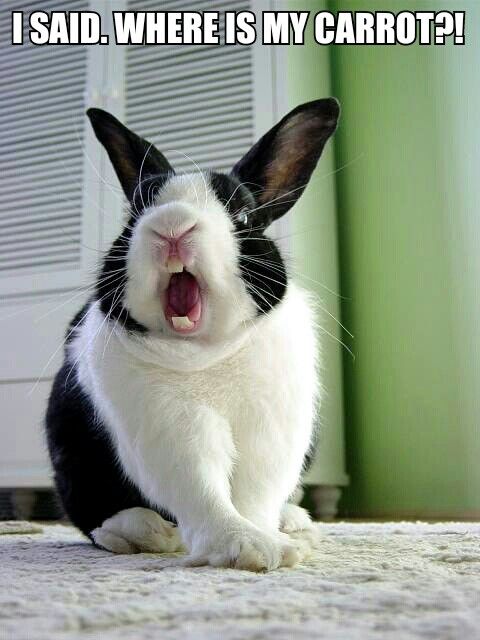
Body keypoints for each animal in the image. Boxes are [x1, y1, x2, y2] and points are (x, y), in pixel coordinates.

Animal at [45, 97, 339, 571]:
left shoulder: (272, 431)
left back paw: (295, 522)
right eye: (135, 215)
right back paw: (140, 531)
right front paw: (247, 547)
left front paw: (271, 542)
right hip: (69, 446)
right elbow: (201, 488)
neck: (206, 351)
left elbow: (255, 495)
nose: (172, 225)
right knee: (88, 509)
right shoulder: (171, 428)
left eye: (242, 215)